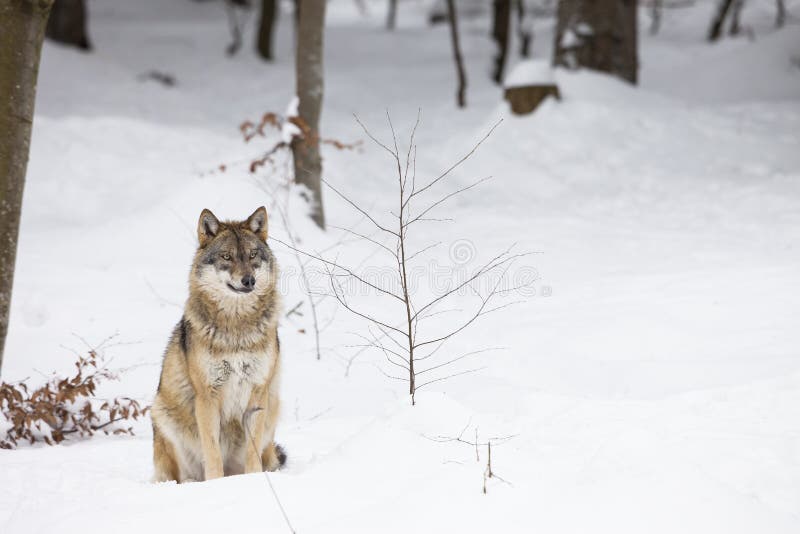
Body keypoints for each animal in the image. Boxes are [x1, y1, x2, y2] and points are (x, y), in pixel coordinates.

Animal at [151, 206, 285, 482]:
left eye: (252, 255)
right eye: (227, 256)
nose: (249, 281)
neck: (236, 328)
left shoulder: (258, 391)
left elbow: (252, 451)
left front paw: (253, 479)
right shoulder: (207, 395)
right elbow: (212, 452)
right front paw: (215, 484)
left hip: (274, 408)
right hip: (162, 413)